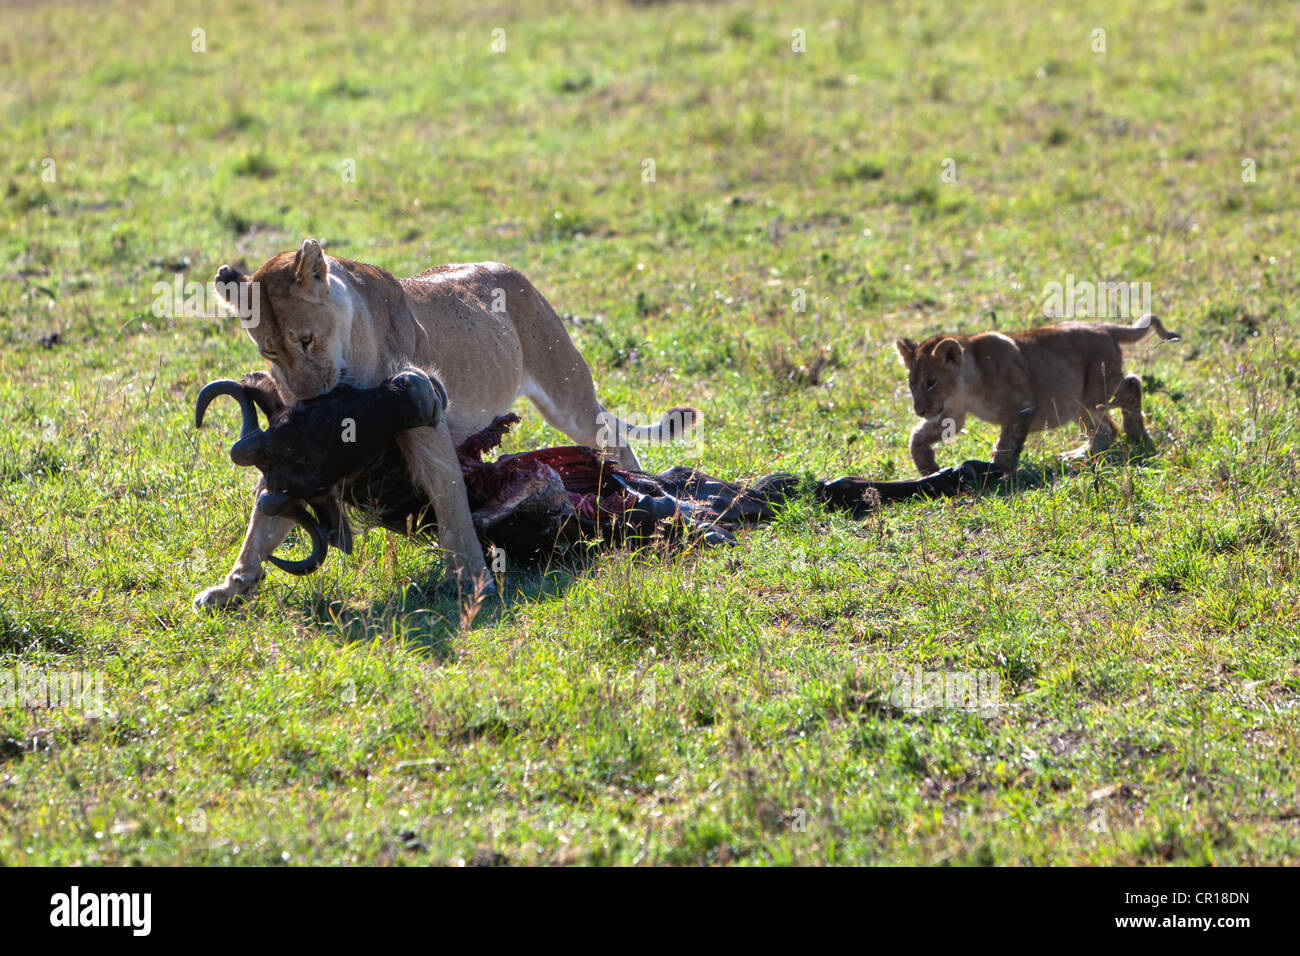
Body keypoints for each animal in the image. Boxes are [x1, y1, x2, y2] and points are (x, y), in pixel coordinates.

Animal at [195, 239, 698, 609]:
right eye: (270, 351)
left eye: (306, 340)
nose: (307, 398)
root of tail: (507, 268)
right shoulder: (294, 457)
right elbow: (265, 517)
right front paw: (232, 585)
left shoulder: (423, 417)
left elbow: (451, 501)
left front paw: (476, 581)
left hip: (565, 391)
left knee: (612, 435)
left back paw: (636, 482)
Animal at [894, 314, 1181, 476]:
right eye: (912, 384)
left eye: (931, 383)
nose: (919, 410)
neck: (966, 386)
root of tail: (1104, 327)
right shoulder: (954, 412)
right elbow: (918, 436)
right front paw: (928, 468)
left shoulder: (1020, 406)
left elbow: (1007, 445)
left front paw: (995, 472)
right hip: (1079, 403)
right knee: (1105, 431)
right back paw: (1079, 455)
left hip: (1098, 392)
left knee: (1132, 385)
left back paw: (1138, 436)